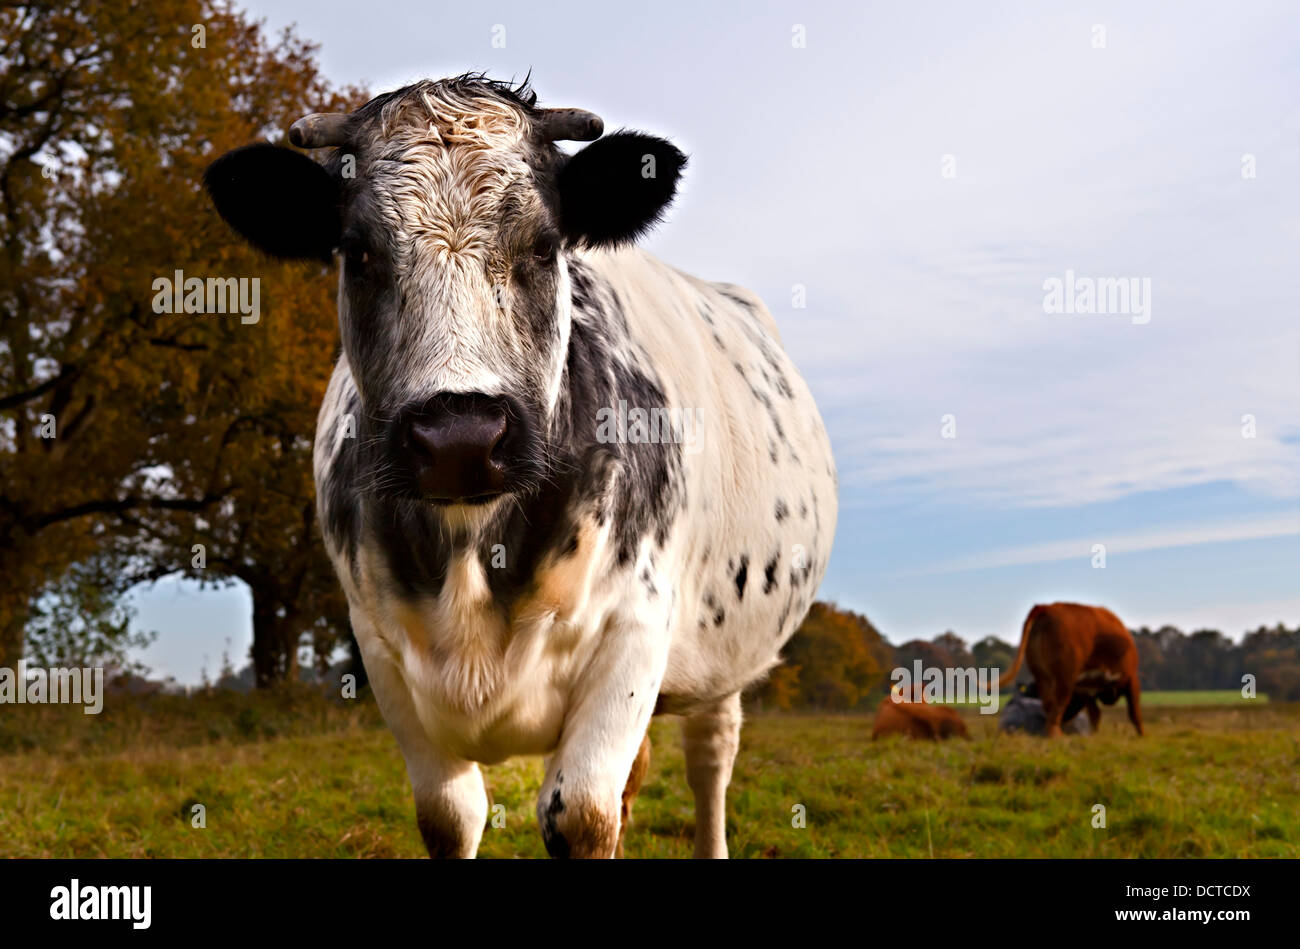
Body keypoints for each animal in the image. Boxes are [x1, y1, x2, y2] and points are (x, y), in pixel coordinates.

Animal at [203, 75, 837, 859]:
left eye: (542, 246)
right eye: (357, 252)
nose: (460, 436)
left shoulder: (634, 632)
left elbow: (583, 814)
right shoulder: (380, 648)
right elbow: (451, 815)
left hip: (722, 659)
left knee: (709, 760)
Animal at [999, 603, 1143, 738]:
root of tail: (1047, 607)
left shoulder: (1087, 691)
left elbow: (1096, 715)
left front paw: (1094, 736)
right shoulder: (1132, 678)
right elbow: (1135, 713)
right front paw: (1142, 736)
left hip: (1042, 676)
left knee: (1049, 706)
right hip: (1064, 678)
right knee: (1056, 709)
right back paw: (1058, 737)